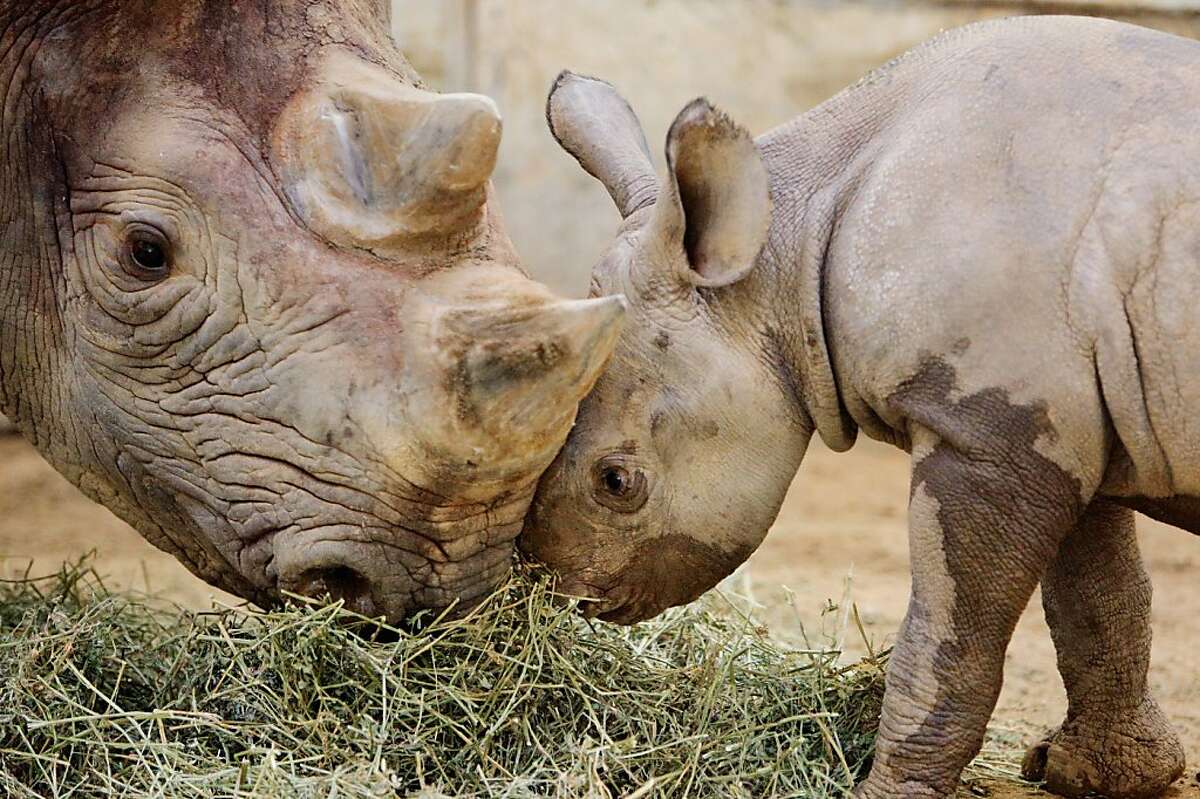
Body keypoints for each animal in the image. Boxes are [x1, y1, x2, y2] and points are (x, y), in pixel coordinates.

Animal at [521, 15, 1200, 799]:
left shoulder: (983, 433)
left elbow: (946, 647)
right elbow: (1100, 598)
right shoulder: (1052, 416)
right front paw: (1100, 774)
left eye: (616, 482)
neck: (787, 245)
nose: (562, 597)